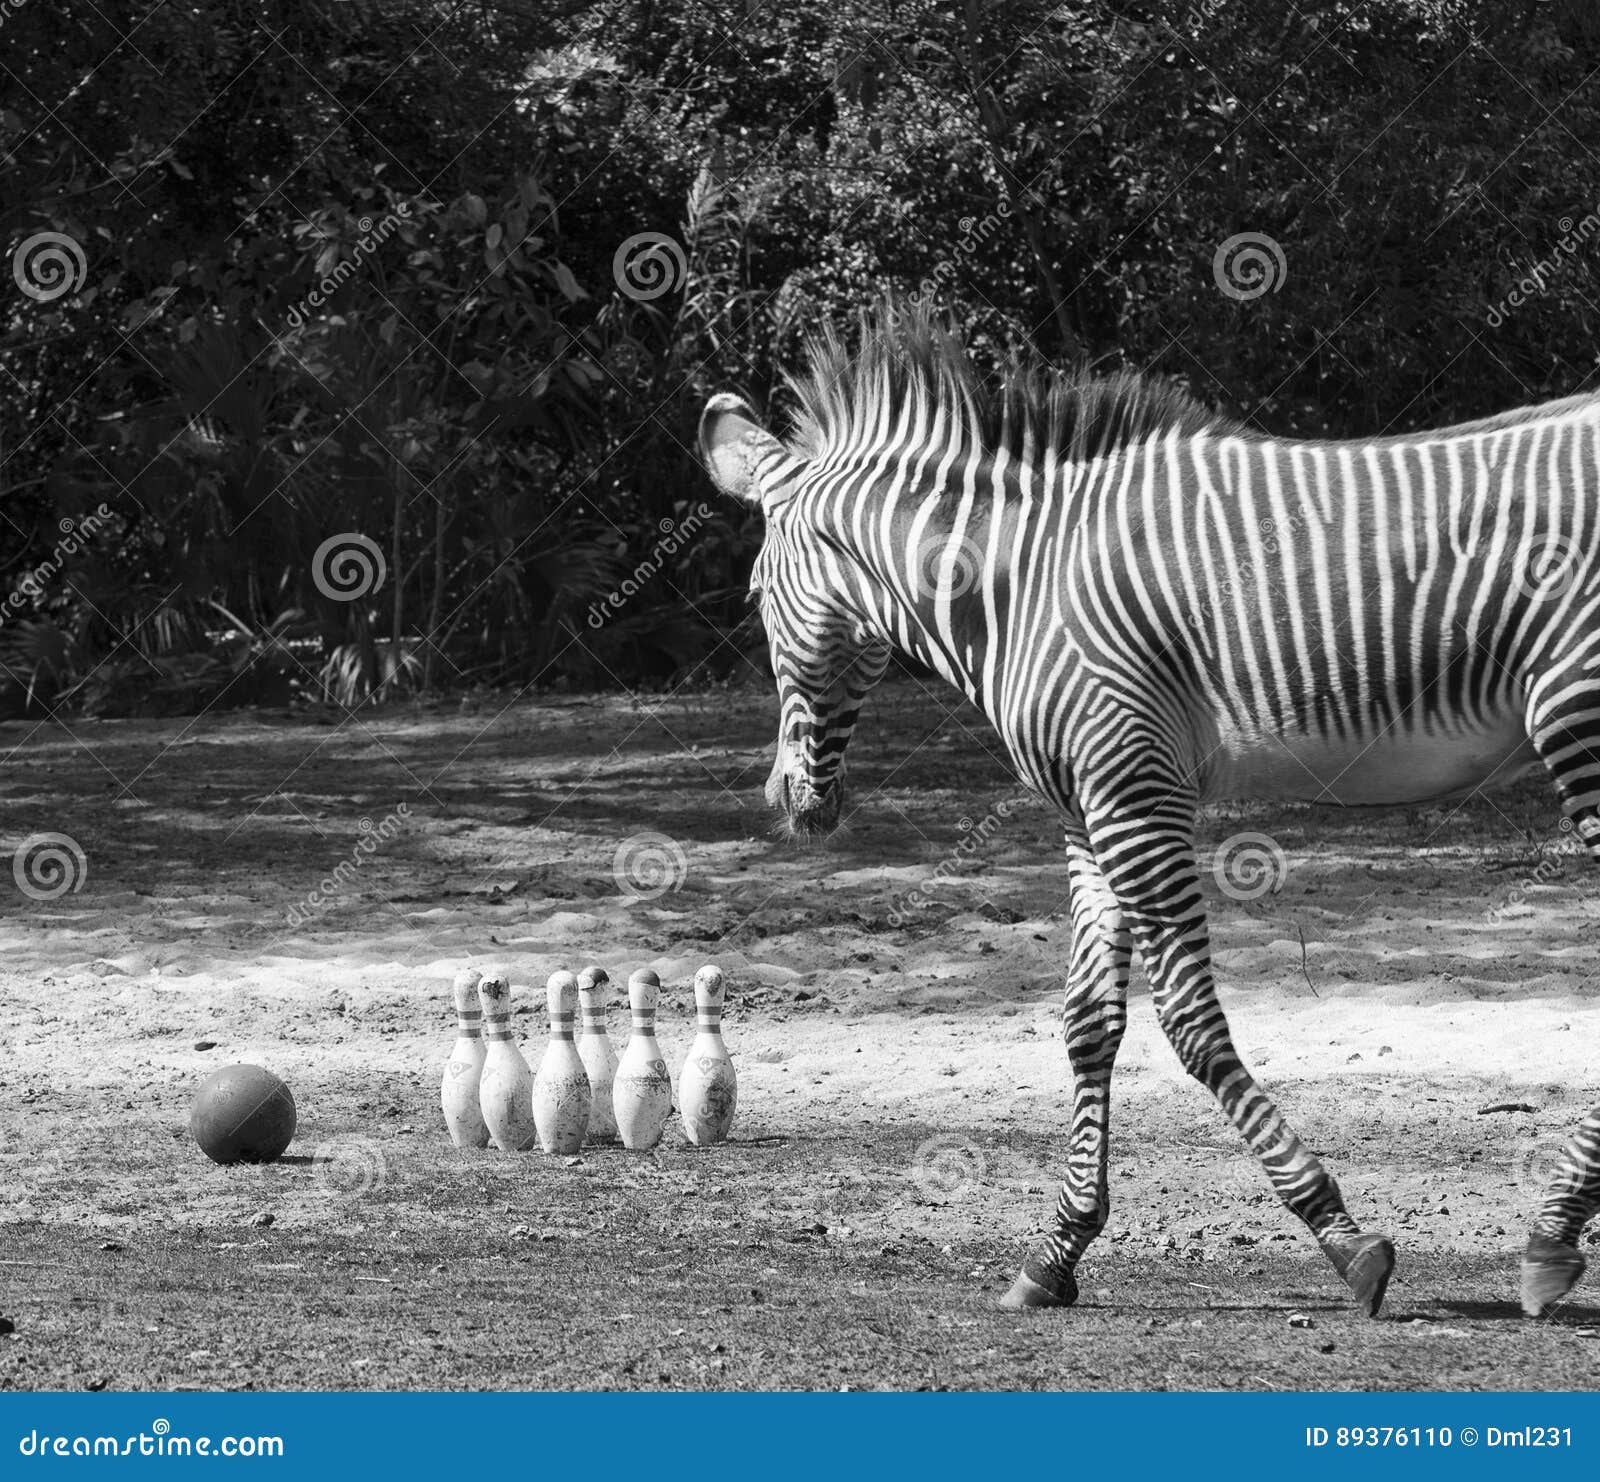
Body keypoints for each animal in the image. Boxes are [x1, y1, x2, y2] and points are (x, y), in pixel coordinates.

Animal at [698, 307, 1600, 1319]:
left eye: (752, 595)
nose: (785, 801)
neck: (1016, 586)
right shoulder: (1086, 810)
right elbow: (1088, 1021)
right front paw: (1056, 1253)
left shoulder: (1133, 789)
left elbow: (1189, 1022)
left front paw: (1342, 1237)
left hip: (1579, 711)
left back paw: (1550, 1236)